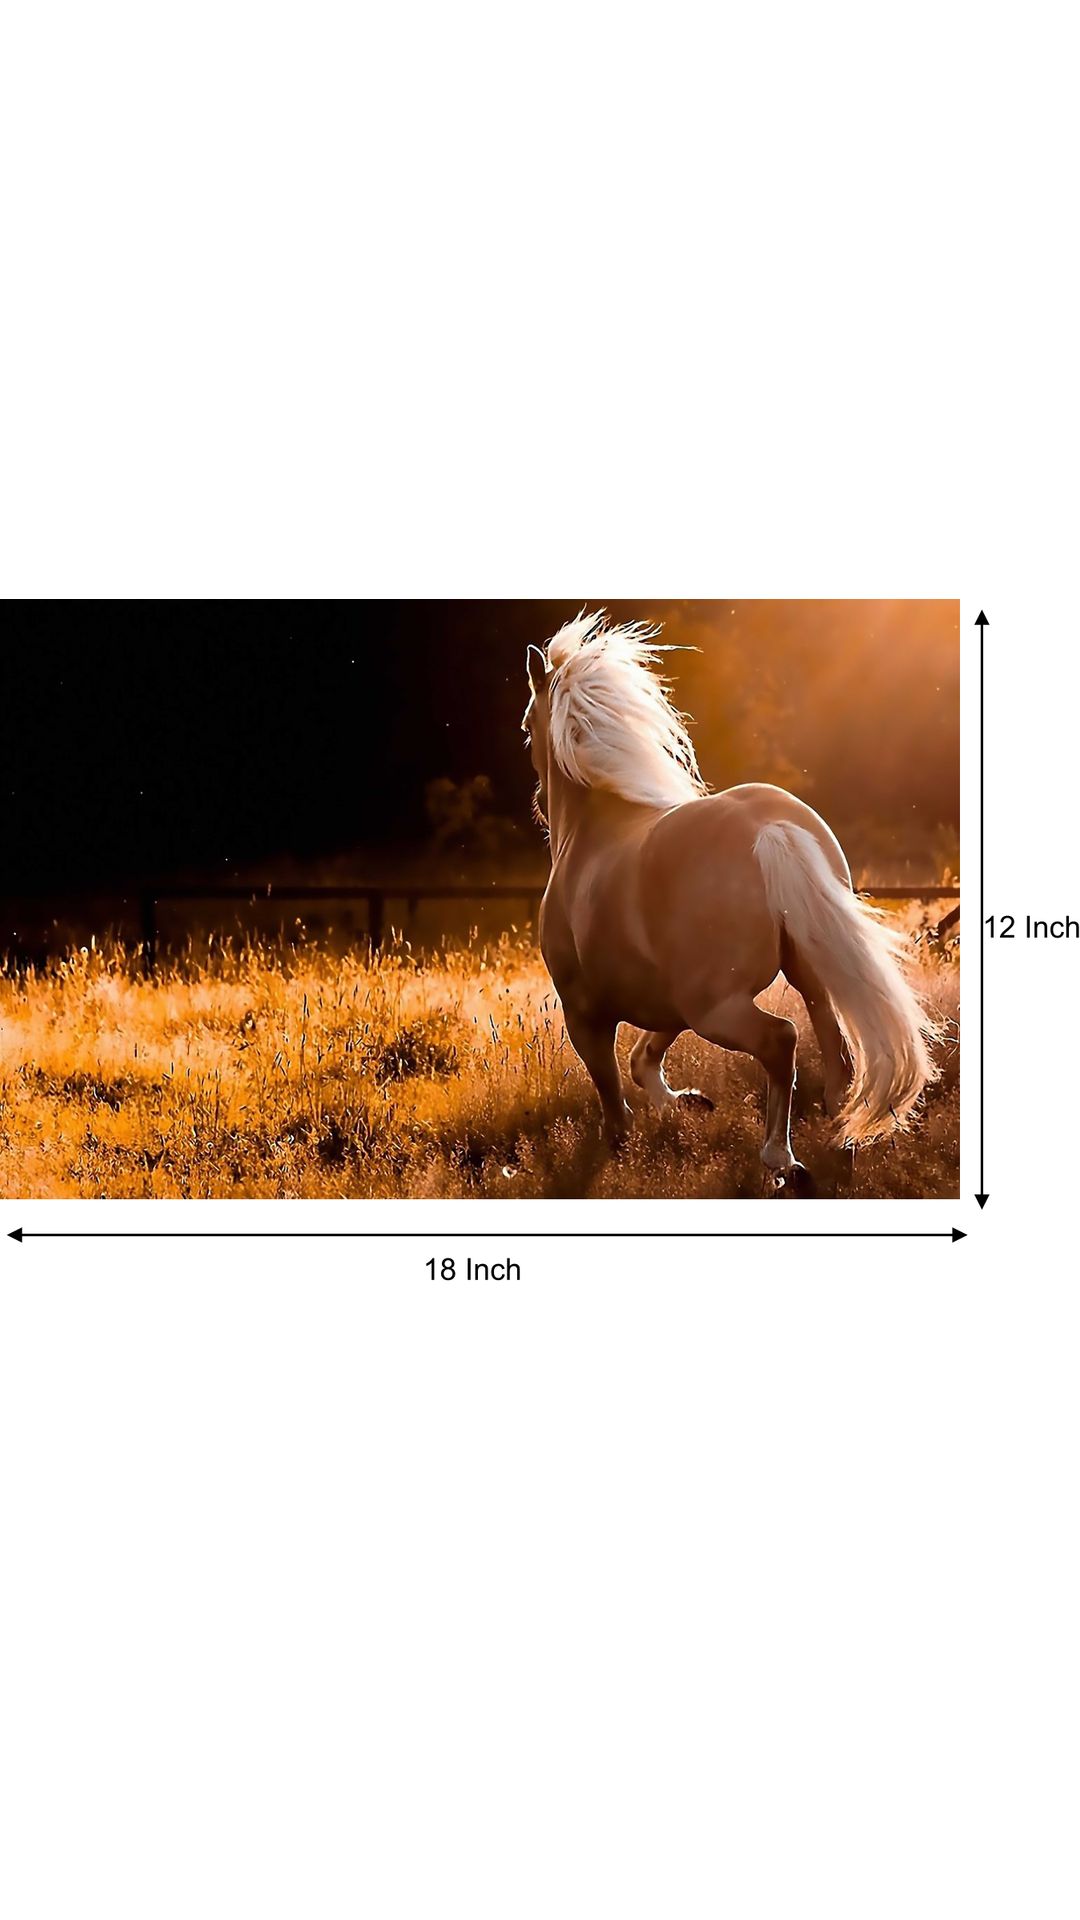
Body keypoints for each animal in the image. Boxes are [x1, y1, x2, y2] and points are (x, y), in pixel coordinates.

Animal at [523, 610, 937, 1191]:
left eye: (526, 728)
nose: (538, 805)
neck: (590, 834)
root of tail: (770, 829)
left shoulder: (586, 1013)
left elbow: (613, 1099)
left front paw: (620, 1153)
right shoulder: (669, 1001)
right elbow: (643, 1059)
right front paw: (689, 1102)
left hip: (716, 1010)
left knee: (781, 1040)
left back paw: (784, 1161)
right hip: (802, 979)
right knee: (838, 1062)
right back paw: (842, 1147)